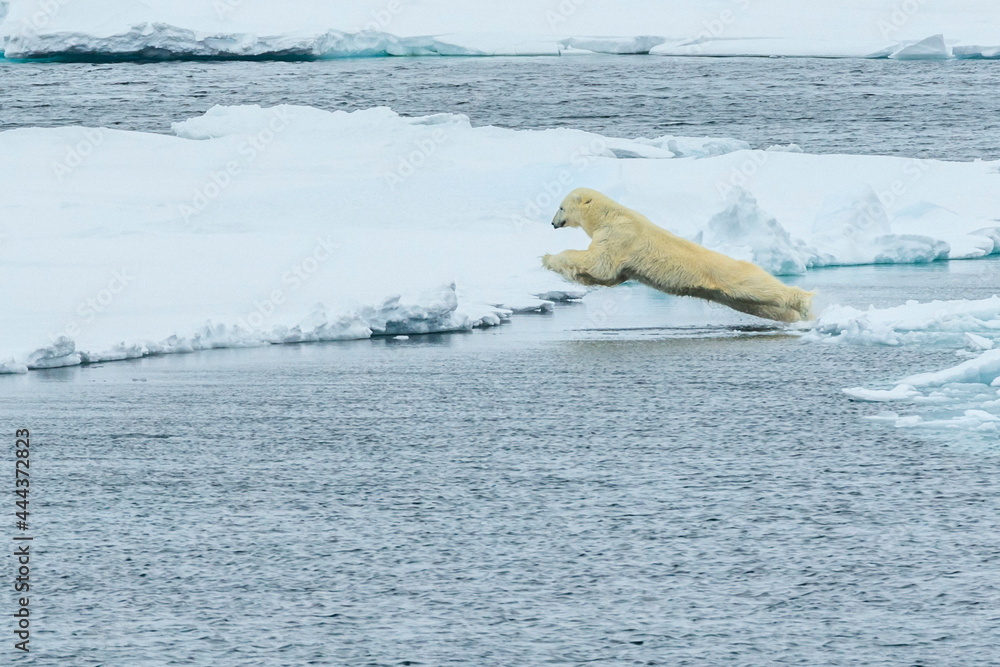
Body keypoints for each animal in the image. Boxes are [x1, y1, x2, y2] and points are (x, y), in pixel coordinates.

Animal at [542, 188, 813, 323]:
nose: (553, 223)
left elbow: (599, 263)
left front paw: (547, 258)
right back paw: (794, 316)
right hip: (732, 297)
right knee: (761, 306)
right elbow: (608, 277)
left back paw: (805, 303)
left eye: (561, 207)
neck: (609, 215)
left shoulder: (620, 236)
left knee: (760, 286)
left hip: (734, 277)